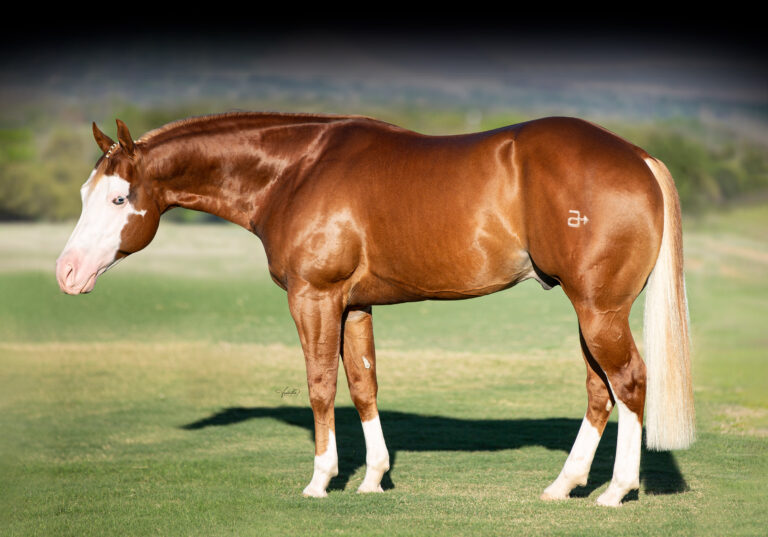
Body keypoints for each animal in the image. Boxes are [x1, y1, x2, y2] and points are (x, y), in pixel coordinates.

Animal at [55, 112, 694, 506]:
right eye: (87, 195)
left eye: (120, 199)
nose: (66, 273)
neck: (297, 170)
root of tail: (638, 157)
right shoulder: (355, 305)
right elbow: (363, 385)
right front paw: (374, 478)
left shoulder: (314, 297)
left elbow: (319, 384)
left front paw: (321, 480)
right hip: (589, 312)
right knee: (599, 391)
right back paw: (565, 485)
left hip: (599, 311)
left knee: (629, 383)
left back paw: (616, 491)